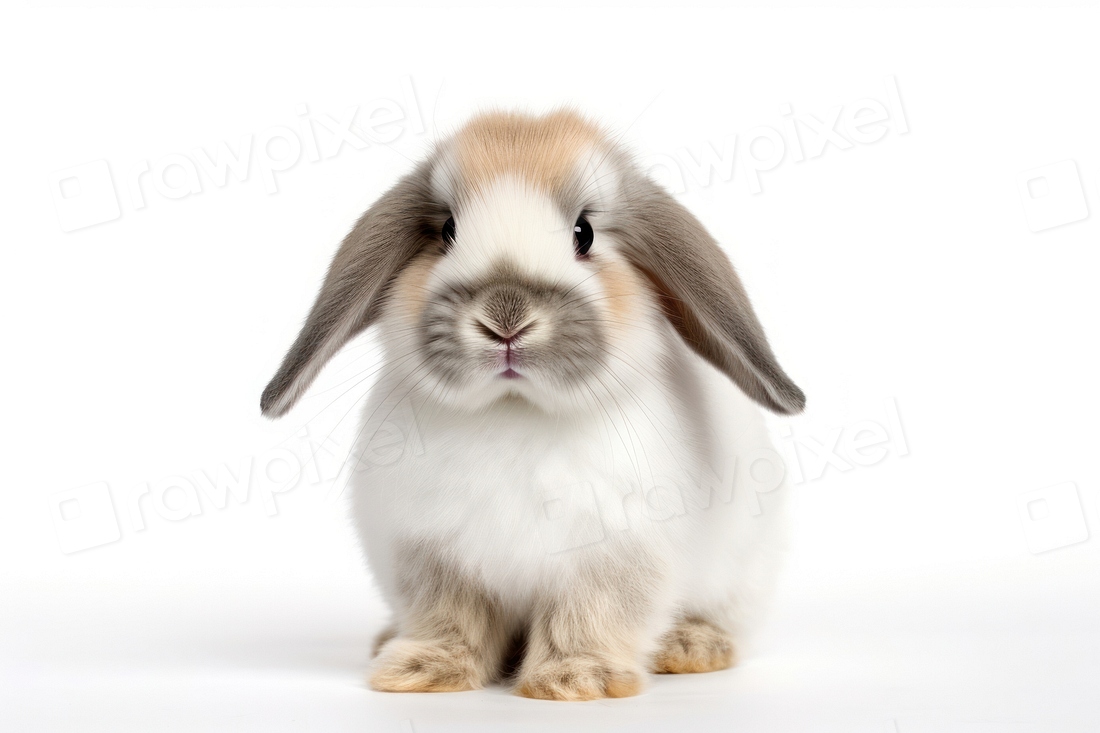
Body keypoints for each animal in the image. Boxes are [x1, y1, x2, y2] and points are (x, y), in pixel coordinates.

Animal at [260, 108, 805, 701]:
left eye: (584, 233)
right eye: (447, 231)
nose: (506, 317)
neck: (514, 409)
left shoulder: (611, 558)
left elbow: (589, 616)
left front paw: (576, 680)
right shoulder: (433, 559)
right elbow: (449, 619)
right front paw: (420, 671)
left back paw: (690, 647)